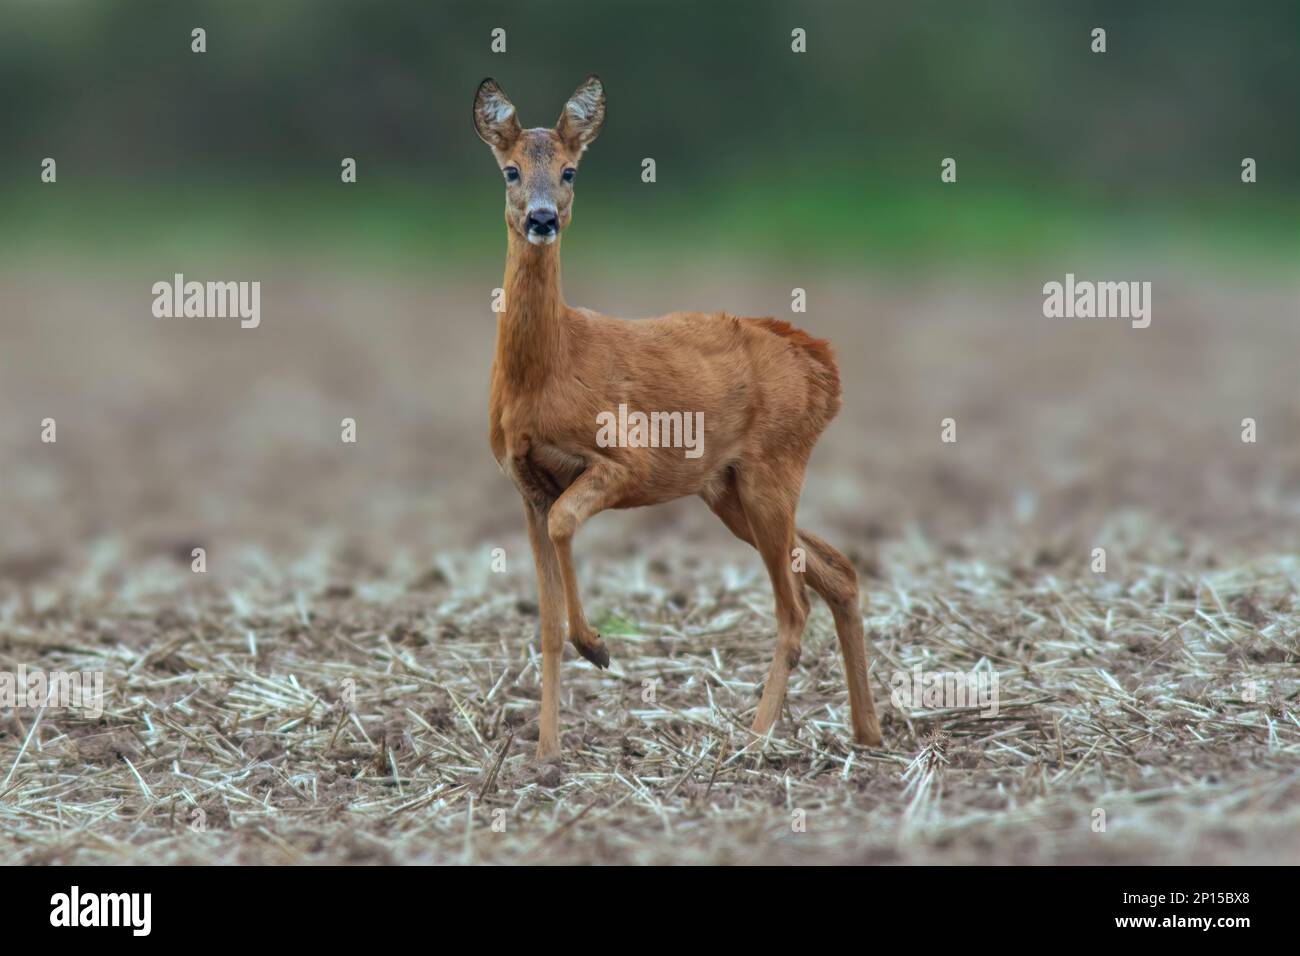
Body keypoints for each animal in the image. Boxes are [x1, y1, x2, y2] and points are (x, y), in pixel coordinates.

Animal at [474, 75, 883, 761]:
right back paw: (869, 732)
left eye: (569, 171)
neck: (546, 373)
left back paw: (753, 741)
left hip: (773, 466)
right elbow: (545, 625)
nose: (542, 219)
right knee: (839, 572)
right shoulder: (524, 484)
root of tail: (823, 365)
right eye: (510, 170)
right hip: (727, 488)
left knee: (795, 605)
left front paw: (599, 646)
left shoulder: (626, 458)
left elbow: (565, 525)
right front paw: (547, 753)